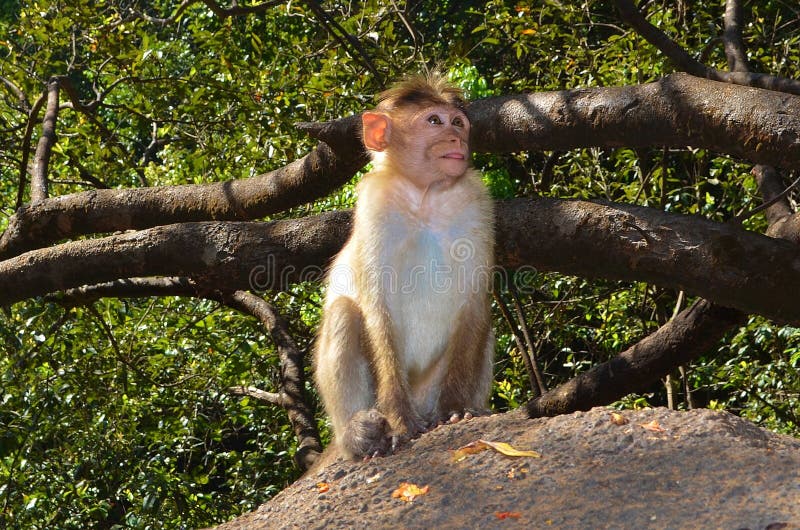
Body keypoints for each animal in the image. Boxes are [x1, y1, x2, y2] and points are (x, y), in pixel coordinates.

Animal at [313, 71, 495, 460]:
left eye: (458, 122)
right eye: (434, 121)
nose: (456, 137)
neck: (426, 195)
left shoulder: (475, 200)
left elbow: (474, 299)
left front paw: (456, 409)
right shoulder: (375, 205)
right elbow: (377, 308)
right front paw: (398, 422)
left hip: (429, 387)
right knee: (344, 312)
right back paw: (358, 436)